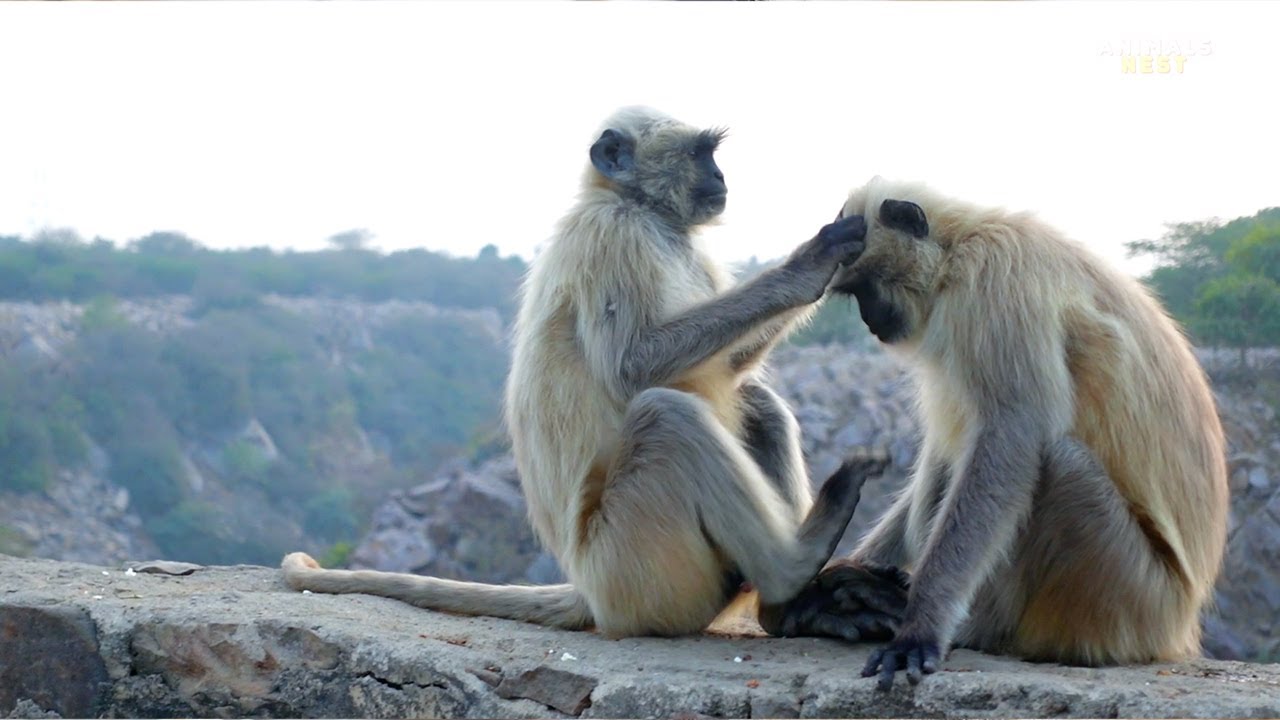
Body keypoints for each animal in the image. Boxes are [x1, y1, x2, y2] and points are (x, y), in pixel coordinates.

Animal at [282, 107, 887, 638]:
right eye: (700, 154)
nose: (721, 177)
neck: (639, 209)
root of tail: (589, 591)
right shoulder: (610, 235)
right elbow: (630, 368)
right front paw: (808, 266)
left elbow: (732, 365)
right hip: (639, 564)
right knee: (667, 415)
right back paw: (792, 569)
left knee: (755, 399)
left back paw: (789, 607)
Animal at [795, 176, 1228, 689]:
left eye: (865, 286)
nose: (868, 318)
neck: (960, 244)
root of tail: (1178, 626)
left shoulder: (992, 280)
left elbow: (1011, 437)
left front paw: (918, 629)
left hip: (1130, 599)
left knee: (1059, 462)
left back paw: (953, 621)